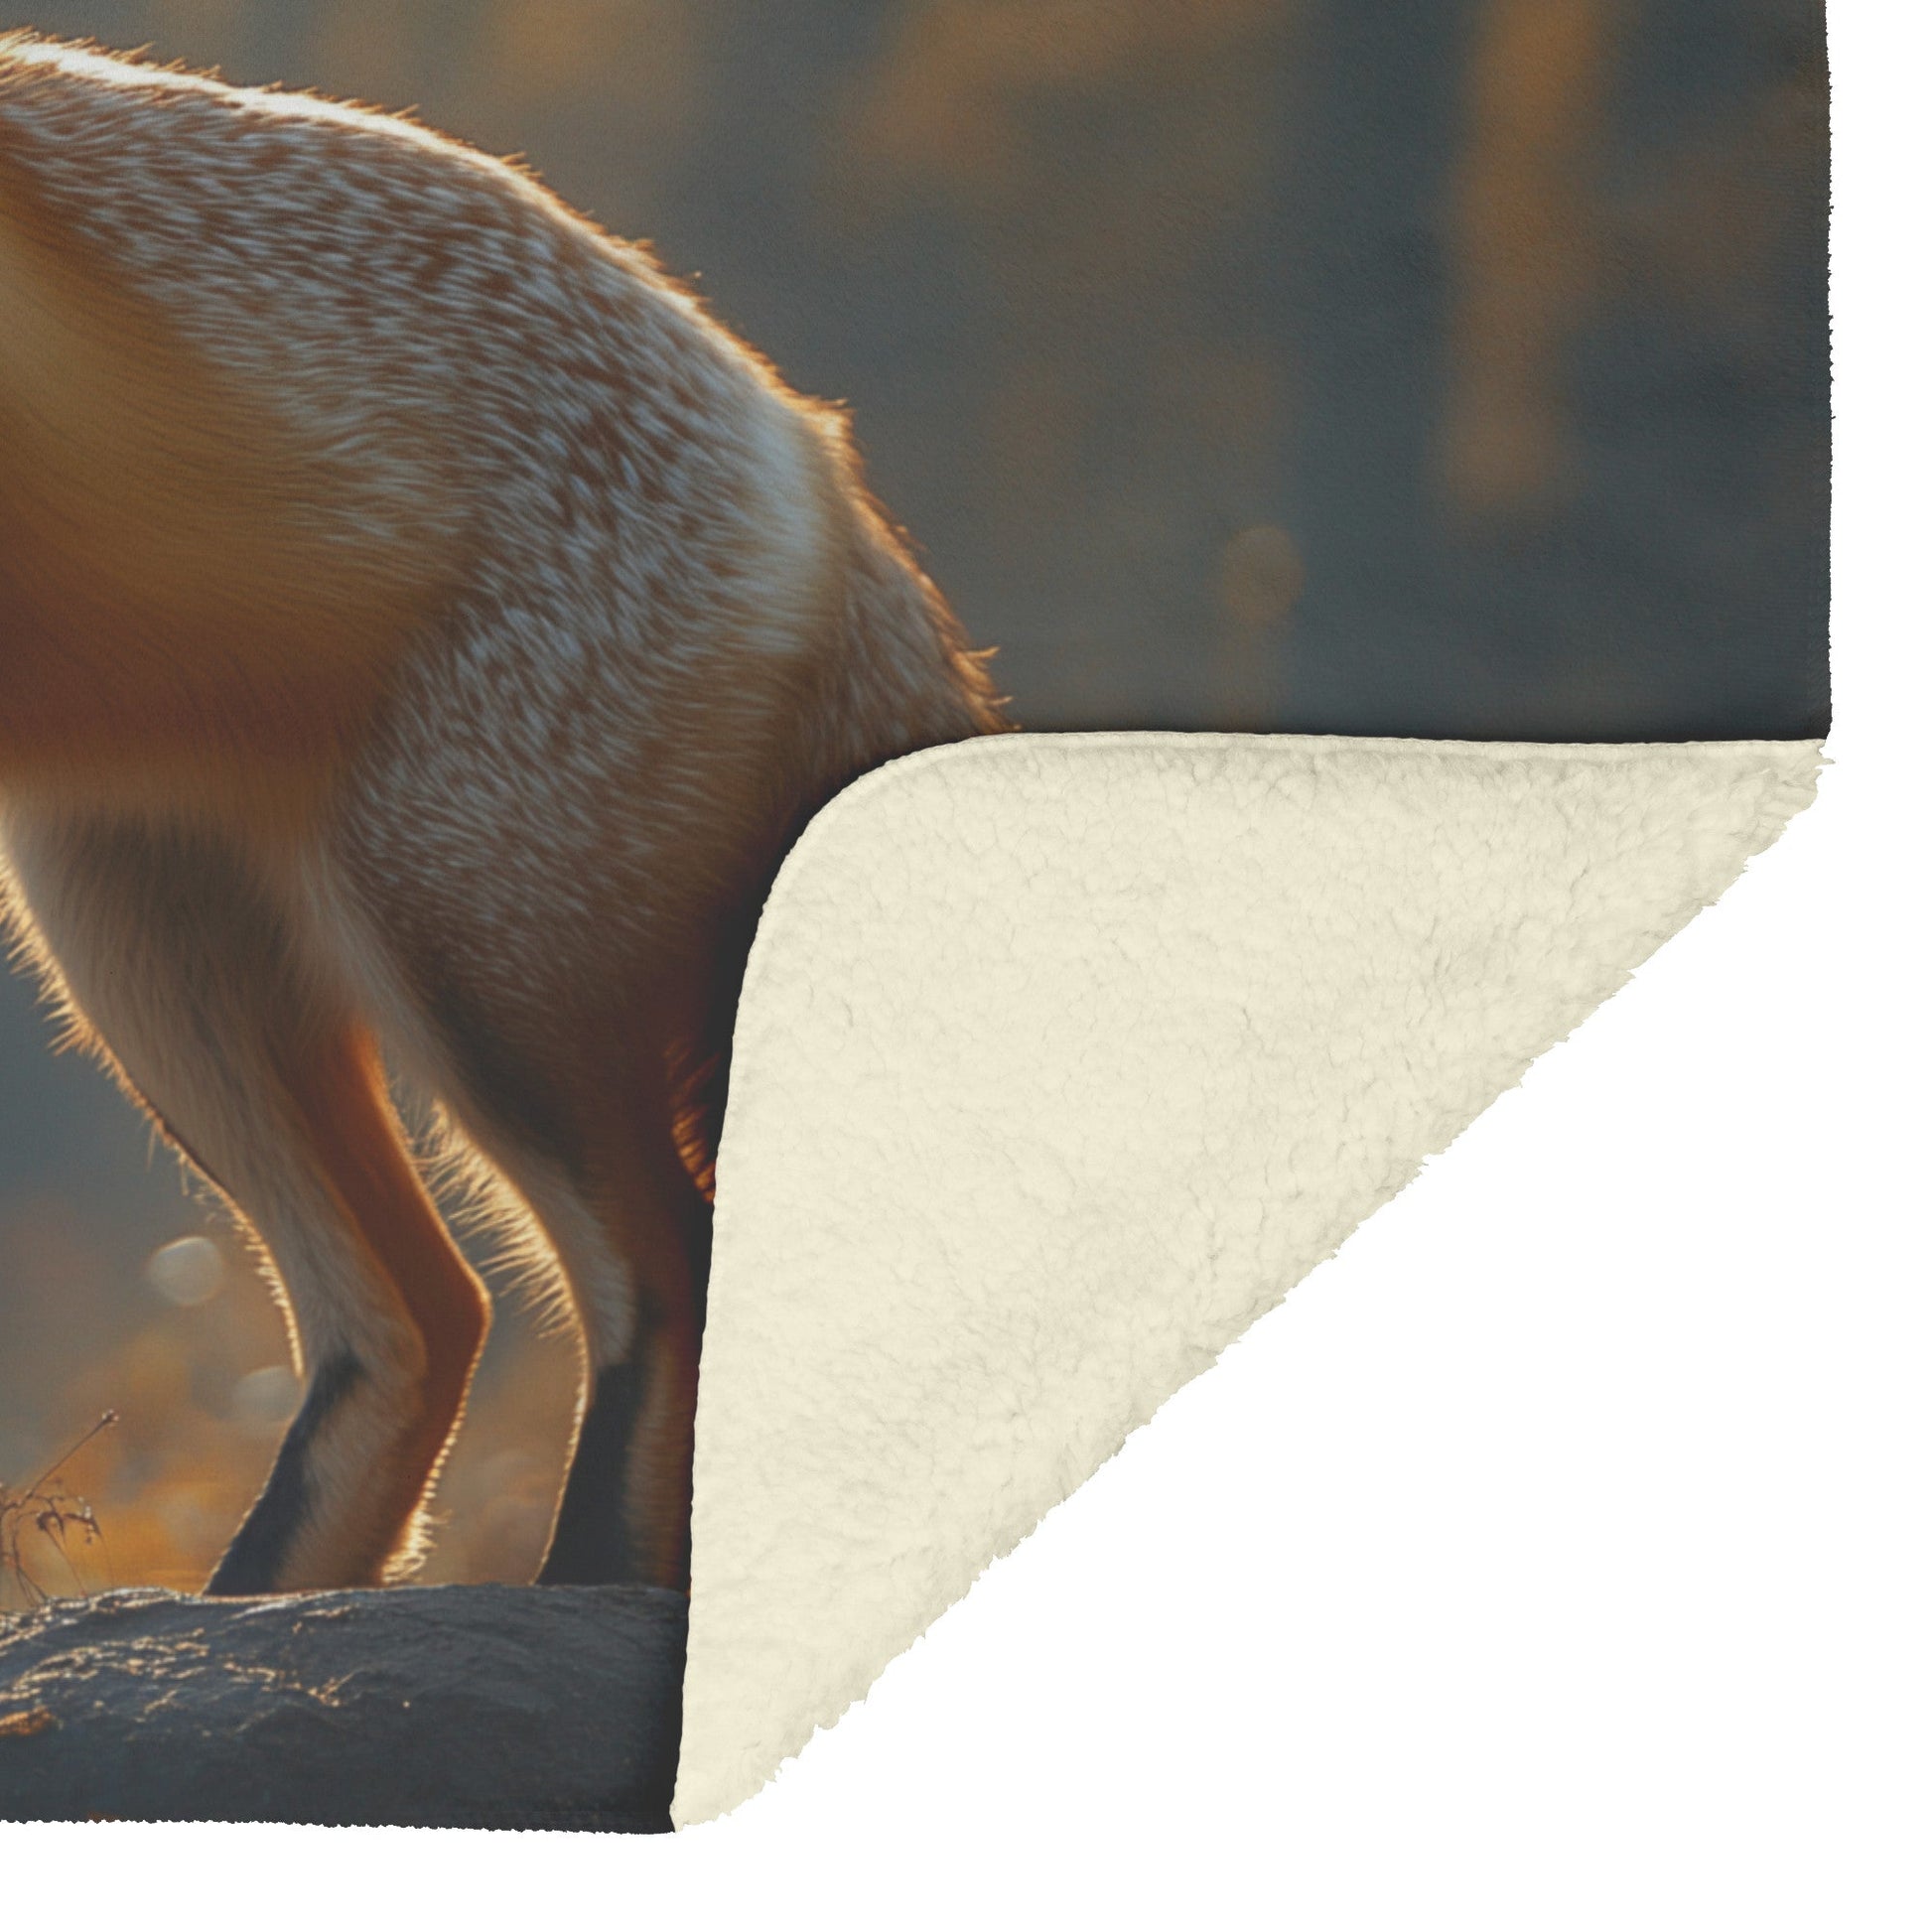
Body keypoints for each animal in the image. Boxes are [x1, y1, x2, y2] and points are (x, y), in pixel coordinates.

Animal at [0, 35, 1006, 1596]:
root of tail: (809, 445)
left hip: (466, 963)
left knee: (661, 1273)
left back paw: (582, 1588)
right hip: (136, 941)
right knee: (426, 1317)